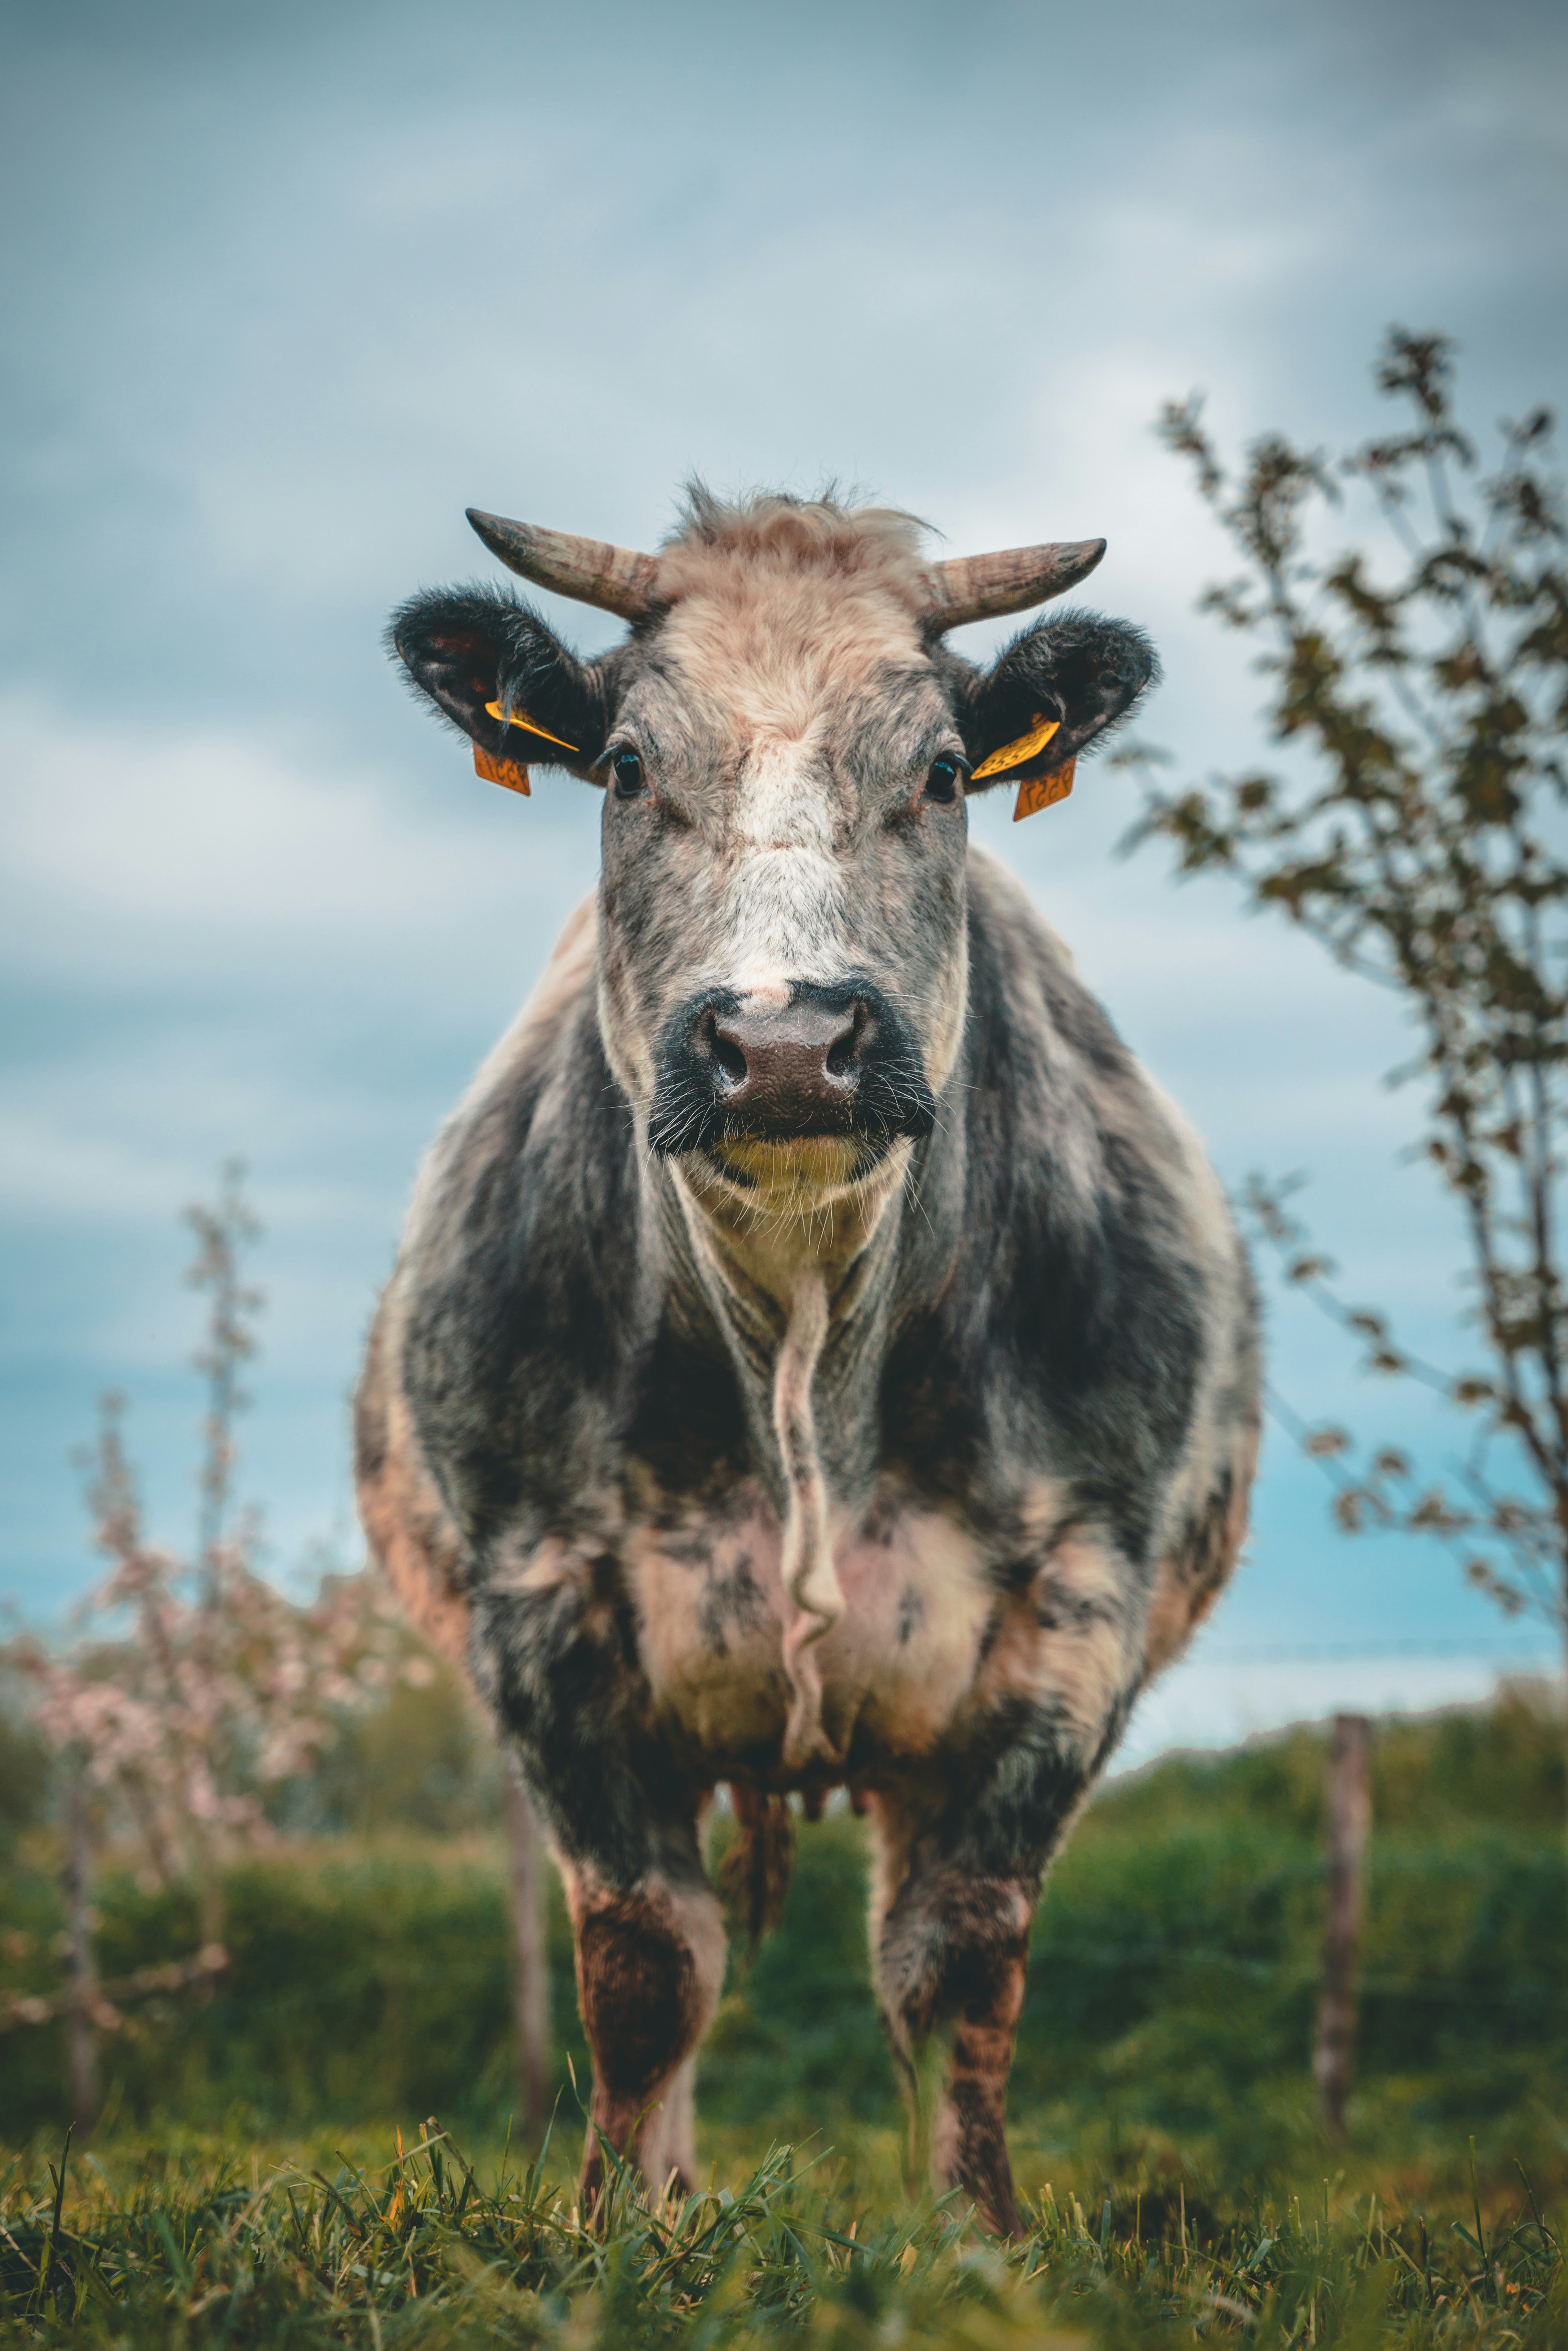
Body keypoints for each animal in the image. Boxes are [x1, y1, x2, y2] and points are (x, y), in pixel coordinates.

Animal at [354, 488, 1260, 2239]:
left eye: (941, 771)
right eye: (623, 765)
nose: (782, 1043)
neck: (798, 1353)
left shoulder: (1075, 1609)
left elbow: (952, 1958)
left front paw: (976, 2242)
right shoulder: (537, 1608)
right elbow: (647, 1963)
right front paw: (619, 2230)